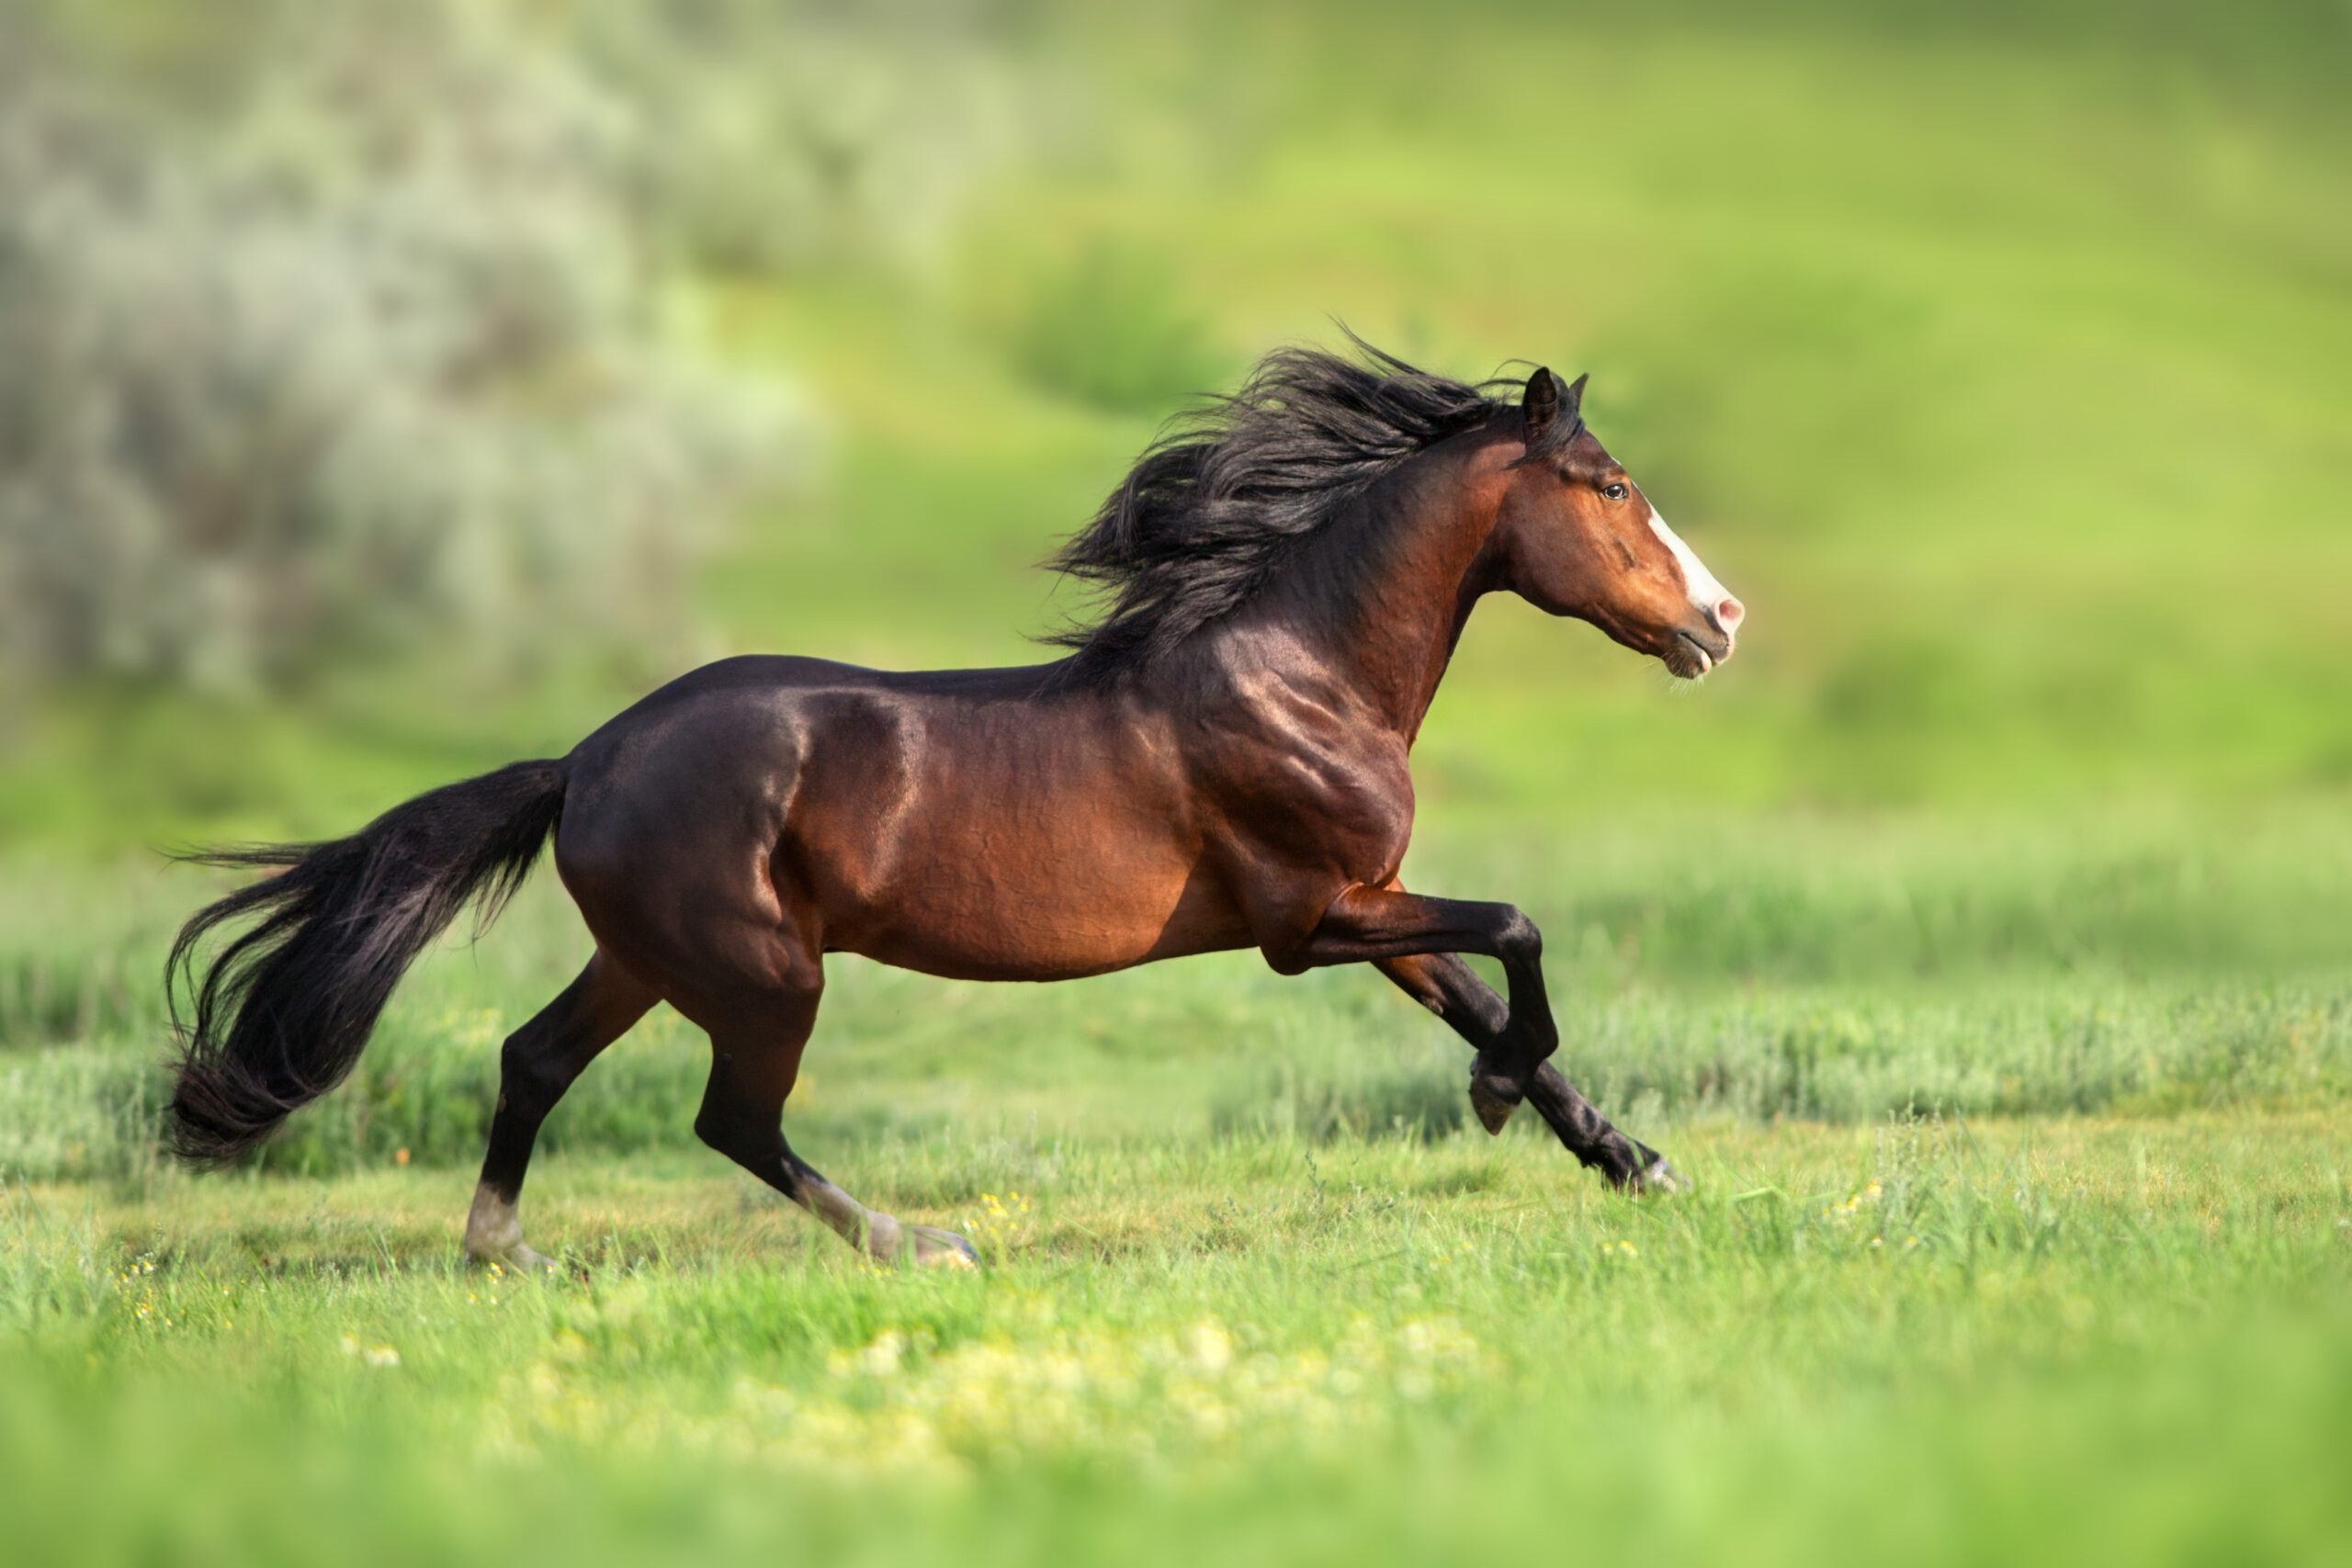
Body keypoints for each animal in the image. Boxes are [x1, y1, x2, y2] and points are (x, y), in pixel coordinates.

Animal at [165, 341, 1744, 1270]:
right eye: (1608, 483)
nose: (1722, 619)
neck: (1299, 672)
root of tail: (586, 757)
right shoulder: (1310, 919)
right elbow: (1519, 934)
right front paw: (1506, 1102)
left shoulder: (1367, 901)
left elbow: (1481, 992)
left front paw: (1634, 1159)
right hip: (762, 971)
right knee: (731, 1118)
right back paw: (914, 1242)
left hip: (649, 957)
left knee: (533, 1057)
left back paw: (507, 1251)